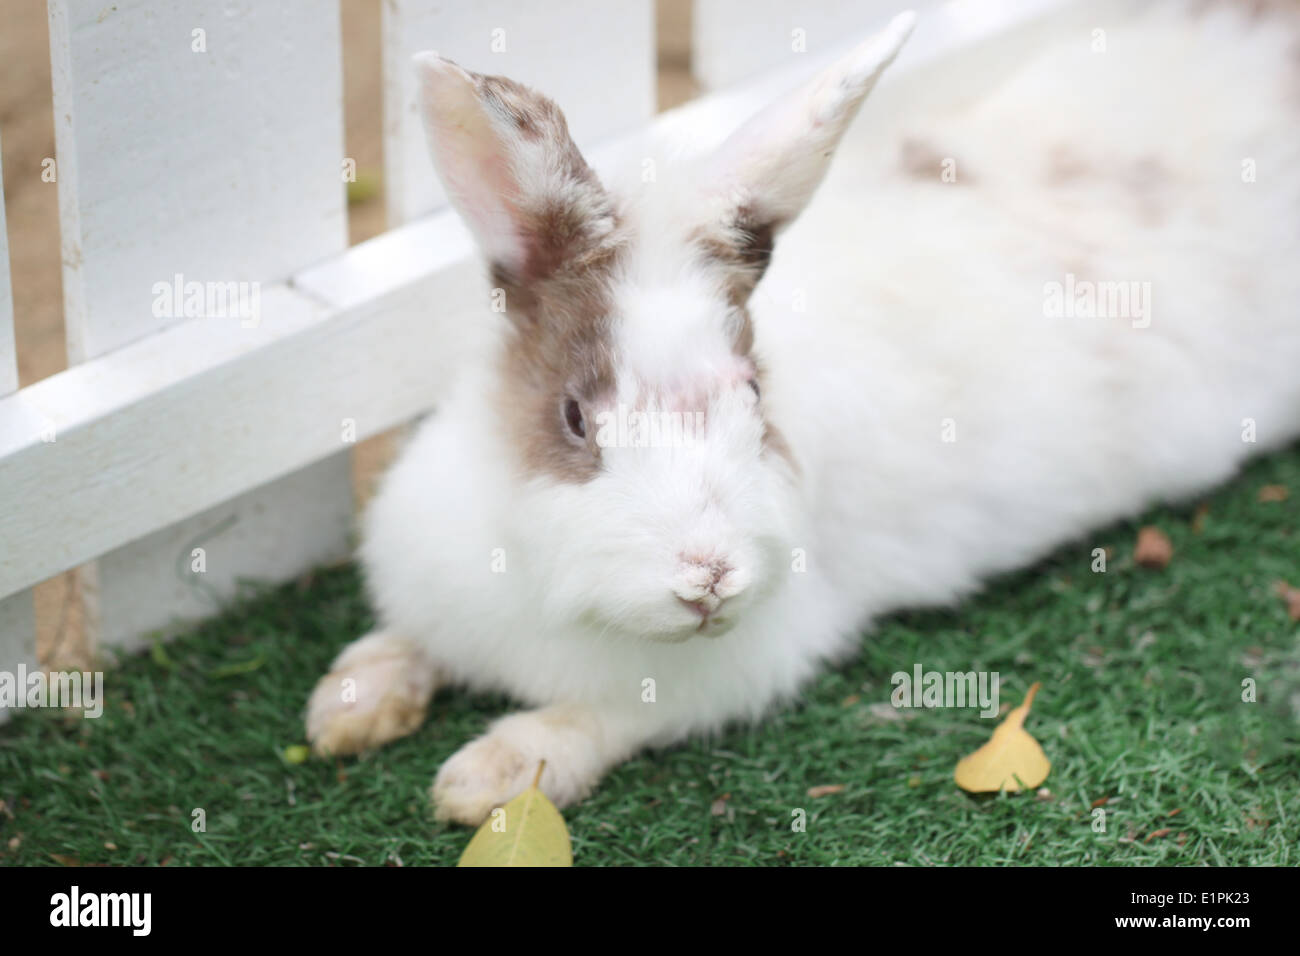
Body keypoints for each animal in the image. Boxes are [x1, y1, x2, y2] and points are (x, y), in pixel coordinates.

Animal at [306, 1, 1300, 825]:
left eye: (753, 394)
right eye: (575, 418)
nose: (707, 578)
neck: (551, 596)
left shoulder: (705, 682)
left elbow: (580, 726)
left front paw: (481, 780)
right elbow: (407, 639)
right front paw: (346, 707)